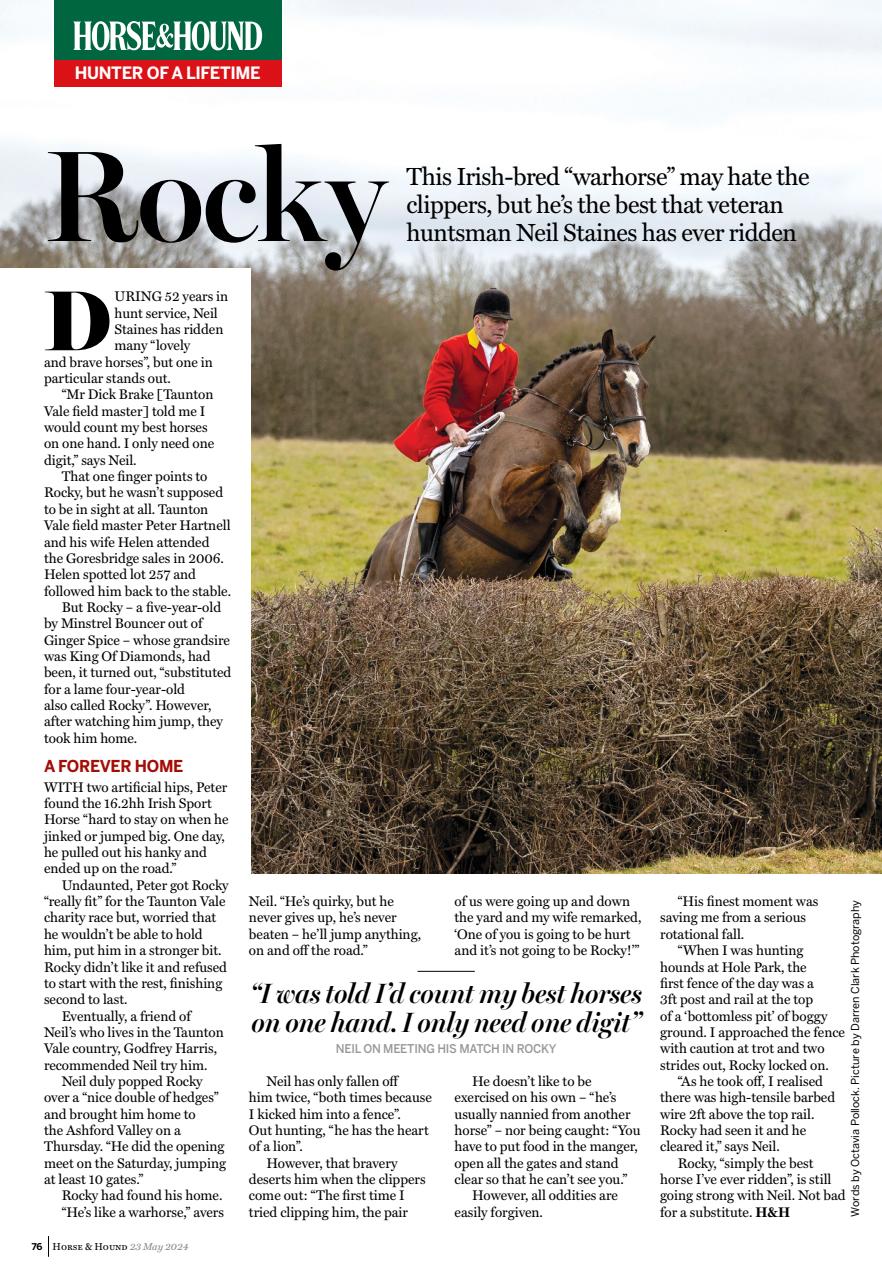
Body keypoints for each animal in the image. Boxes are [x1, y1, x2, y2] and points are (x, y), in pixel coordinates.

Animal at [362, 329, 654, 584]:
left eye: (644, 387)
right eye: (614, 385)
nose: (638, 448)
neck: (557, 433)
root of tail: (378, 553)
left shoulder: (579, 492)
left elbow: (614, 465)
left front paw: (593, 534)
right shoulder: (504, 501)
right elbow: (560, 469)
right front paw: (569, 542)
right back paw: (424, 570)